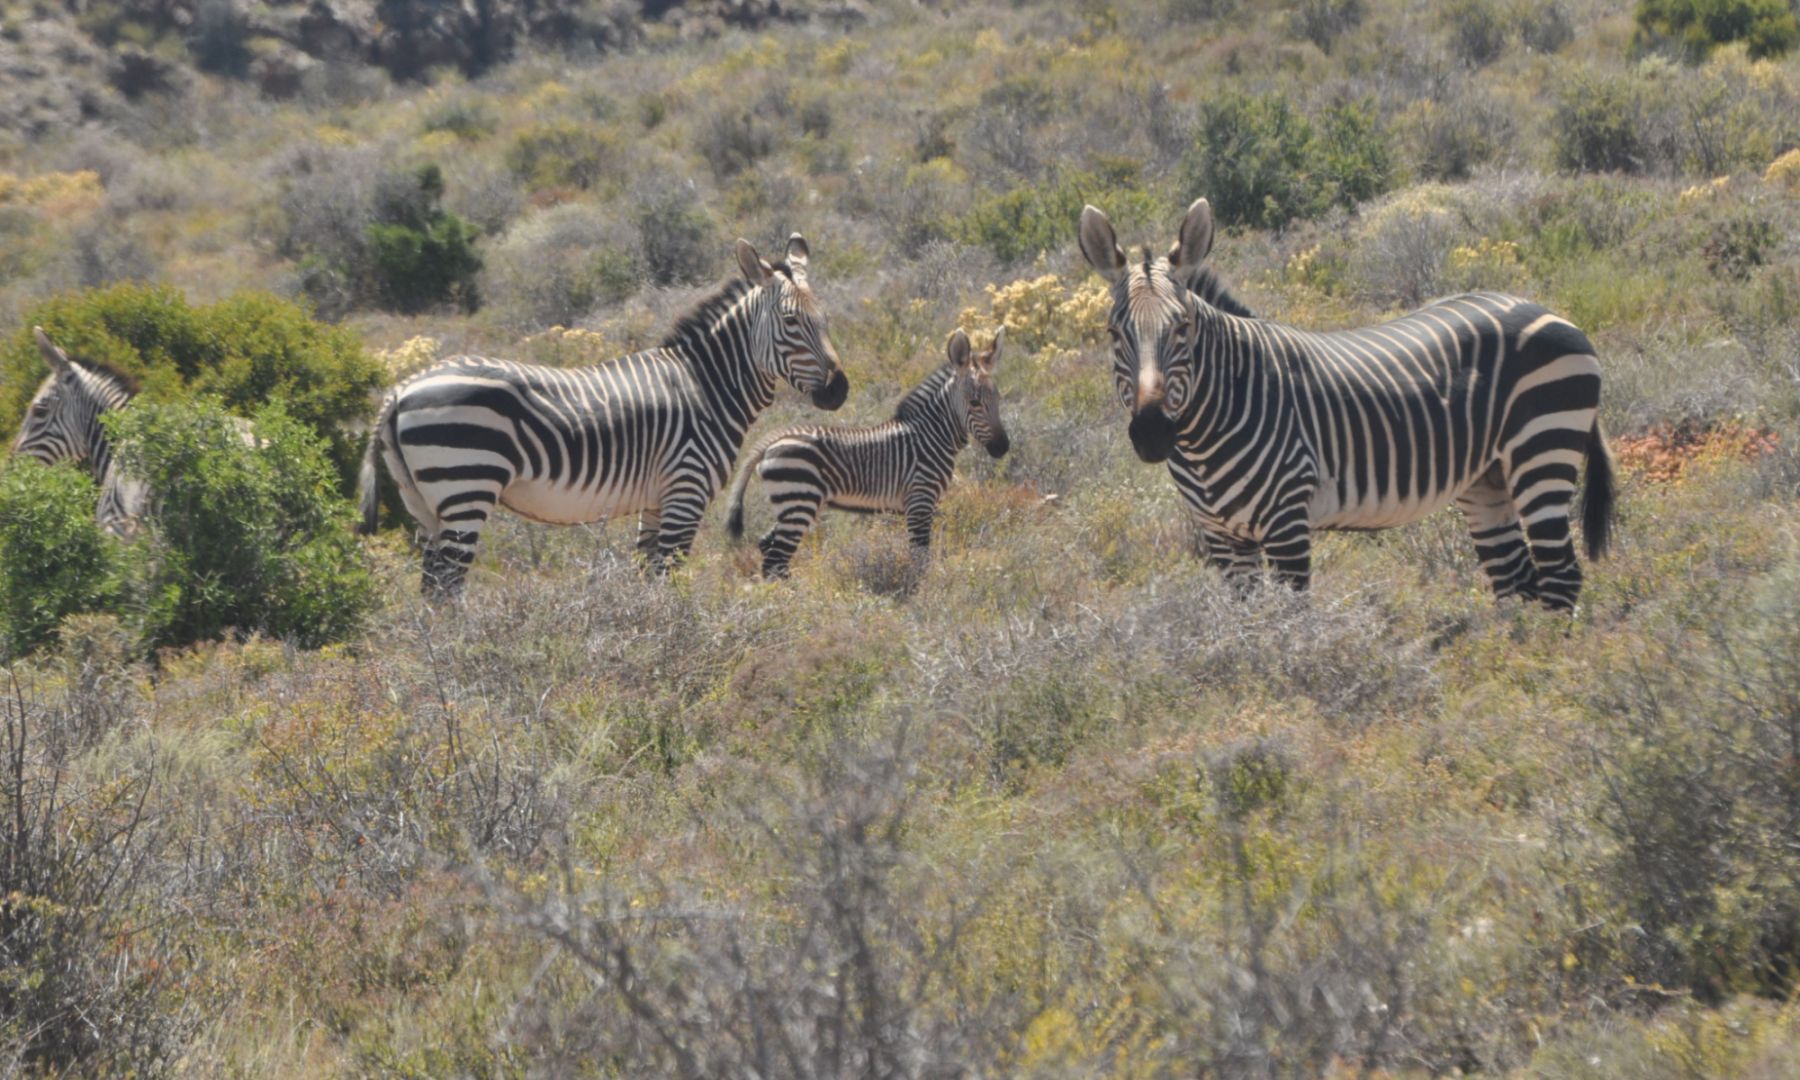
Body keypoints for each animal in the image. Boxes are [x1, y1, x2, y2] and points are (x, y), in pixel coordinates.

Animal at [359, 234, 851, 596]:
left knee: (430, 585)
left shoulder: (657, 499)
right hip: (465, 485)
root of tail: (402, 388)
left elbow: (649, 577)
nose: (839, 390)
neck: (707, 385)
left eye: (826, 319)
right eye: (791, 322)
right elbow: (667, 580)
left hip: (424, 503)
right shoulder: (686, 491)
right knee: (447, 586)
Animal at [723, 327, 1010, 579]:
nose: (1003, 447)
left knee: (768, 548)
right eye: (974, 402)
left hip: (793, 504)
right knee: (776, 559)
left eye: (998, 399)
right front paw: (923, 592)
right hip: (799, 501)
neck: (930, 436)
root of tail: (772, 441)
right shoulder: (920, 501)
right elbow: (920, 557)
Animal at [1078, 198, 1616, 610]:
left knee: (1560, 576)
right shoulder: (1221, 536)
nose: (1152, 433)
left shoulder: (1287, 521)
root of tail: (1547, 310)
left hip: (1541, 449)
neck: (1204, 435)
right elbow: (1247, 624)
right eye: (1113, 332)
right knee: (1516, 580)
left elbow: (1291, 622)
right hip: (1488, 478)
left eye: (1183, 328)